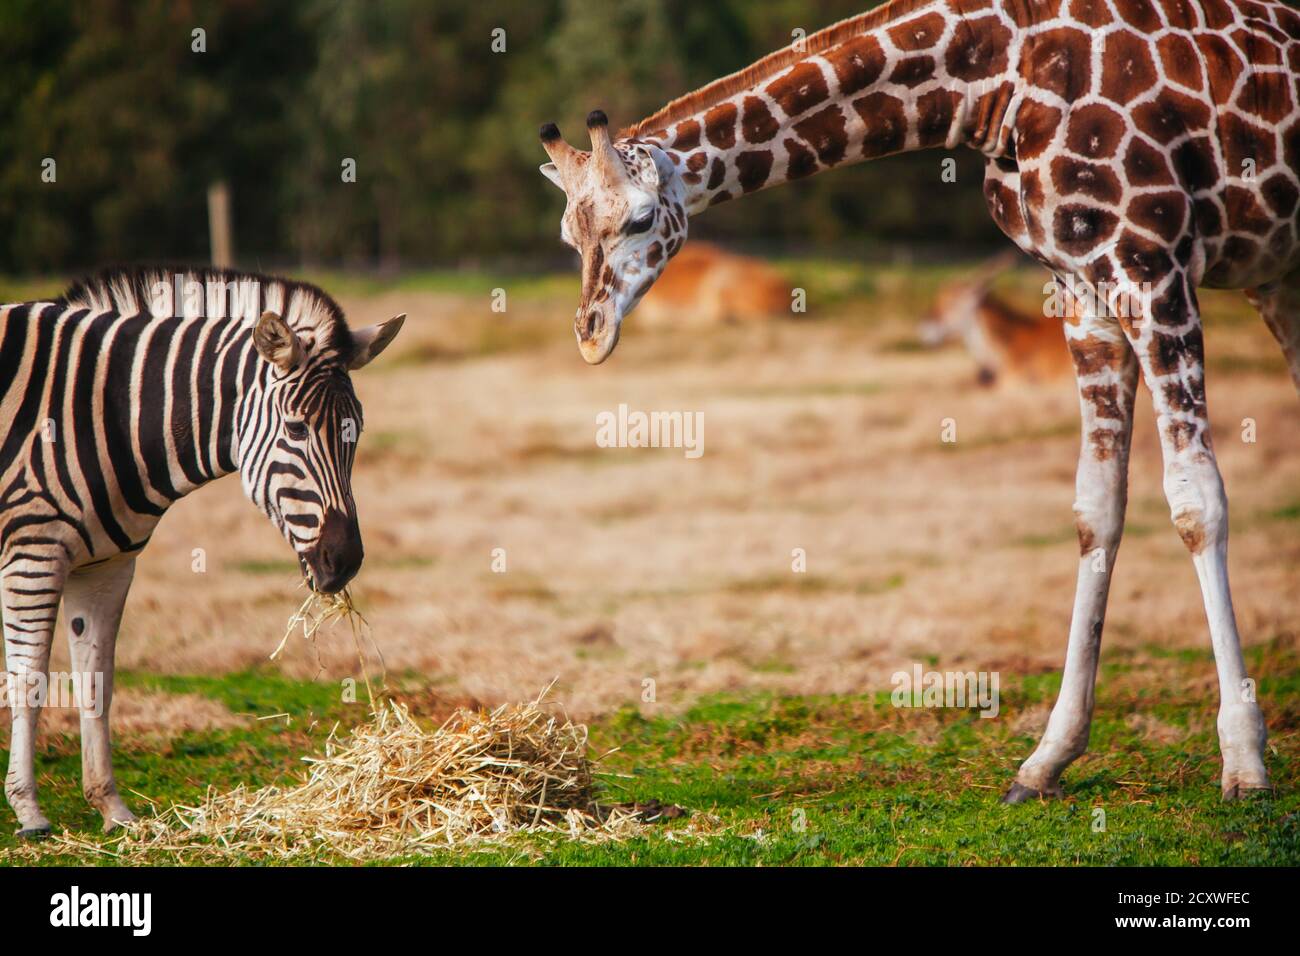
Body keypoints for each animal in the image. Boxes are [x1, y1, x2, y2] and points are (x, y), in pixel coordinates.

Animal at [0, 266, 404, 836]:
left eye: (357, 432)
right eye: (296, 428)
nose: (344, 561)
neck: (107, 414)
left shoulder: (106, 566)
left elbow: (97, 681)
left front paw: (111, 808)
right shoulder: (33, 548)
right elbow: (29, 679)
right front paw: (29, 811)